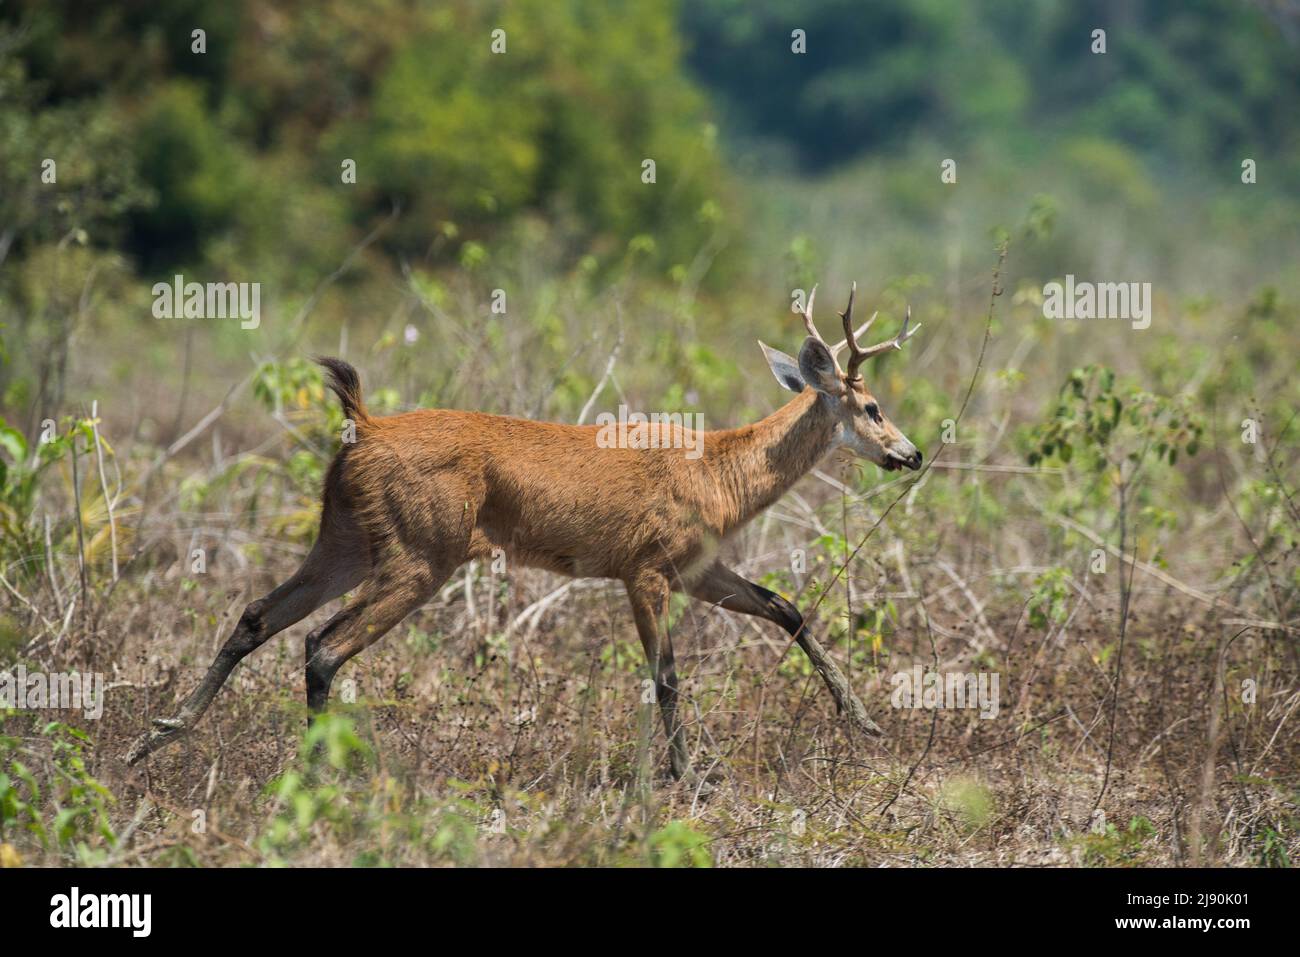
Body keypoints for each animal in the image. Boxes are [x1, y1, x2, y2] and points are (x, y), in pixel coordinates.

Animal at [125, 285, 922, 782]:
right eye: (874, 406)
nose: (912, 454)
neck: (720, 473)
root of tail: (363, 425)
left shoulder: (698, 568)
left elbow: (788, 608)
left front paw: (864, 722)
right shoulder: (646, 568)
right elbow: (666, 675)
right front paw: (688, 776)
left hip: (345, 540)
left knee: (258, 614)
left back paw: (158, 734)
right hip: (421, 553)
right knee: (323, 645)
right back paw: (321, 773)